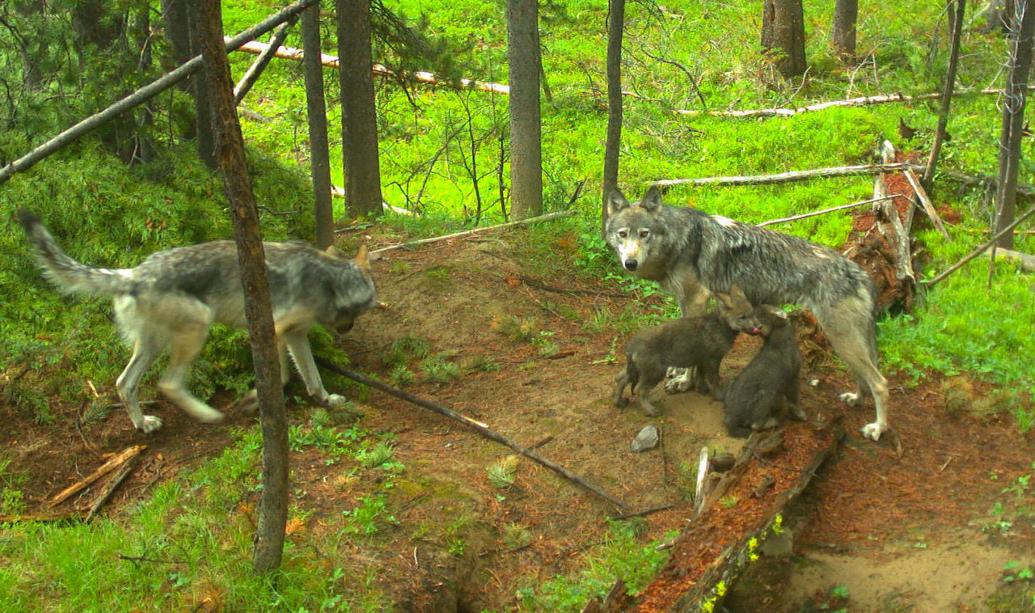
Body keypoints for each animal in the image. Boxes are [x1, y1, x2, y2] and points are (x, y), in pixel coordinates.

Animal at [17, 210, 376, 433]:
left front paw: (327, 400)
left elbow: (313, 379)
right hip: (197, 328)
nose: (348, 329)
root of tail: (133, 273)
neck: (329, 280)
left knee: (124, 383)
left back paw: (143, 424)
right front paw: (254, 401)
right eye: (362, 311)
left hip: (152, 345)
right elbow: (285, 378)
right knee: (168, 384)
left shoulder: (295, 337)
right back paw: (208, 414)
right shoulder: (274, 331)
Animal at [612, 286, 761, 416]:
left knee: (620, 379)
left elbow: (701, 378)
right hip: (655, 372)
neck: (721, 326)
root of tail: (632, 345)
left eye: (753, 314)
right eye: (742, 317)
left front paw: (702, 390)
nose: (759, 326)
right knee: (639, 390)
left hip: (637, 370)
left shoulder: (702, 359)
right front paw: (720, 395)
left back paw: (619, 402)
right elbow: (714, 380)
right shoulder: (712, 360)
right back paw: (651, 411)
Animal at [723, 305, 803, 438]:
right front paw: (800, 415)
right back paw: (772, 421)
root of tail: (732, 418)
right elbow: (794, 399)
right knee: (755, 425)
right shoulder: (793, 377)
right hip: (769, 394)